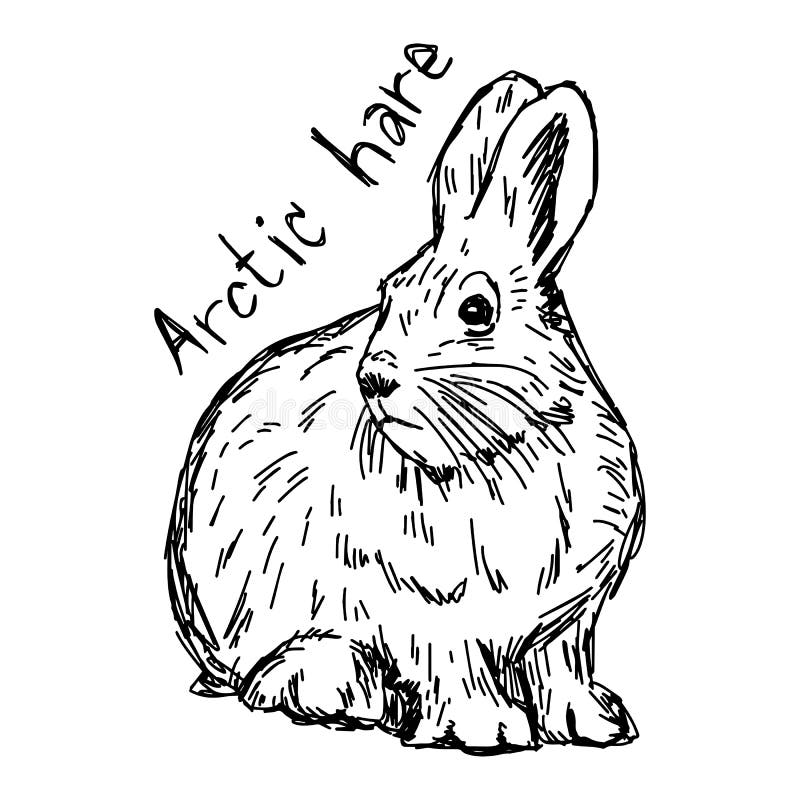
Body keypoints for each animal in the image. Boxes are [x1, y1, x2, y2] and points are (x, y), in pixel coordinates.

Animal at [166, 70, 645, 754]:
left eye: (477, 310)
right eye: (390, 290)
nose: (374, 377)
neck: (504, 442)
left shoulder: (568, 619)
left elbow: (563, 668)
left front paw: (596, 724)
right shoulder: (431, 612)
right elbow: (457, 669)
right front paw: (488, 731)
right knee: (270, 677)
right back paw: (350, 695)